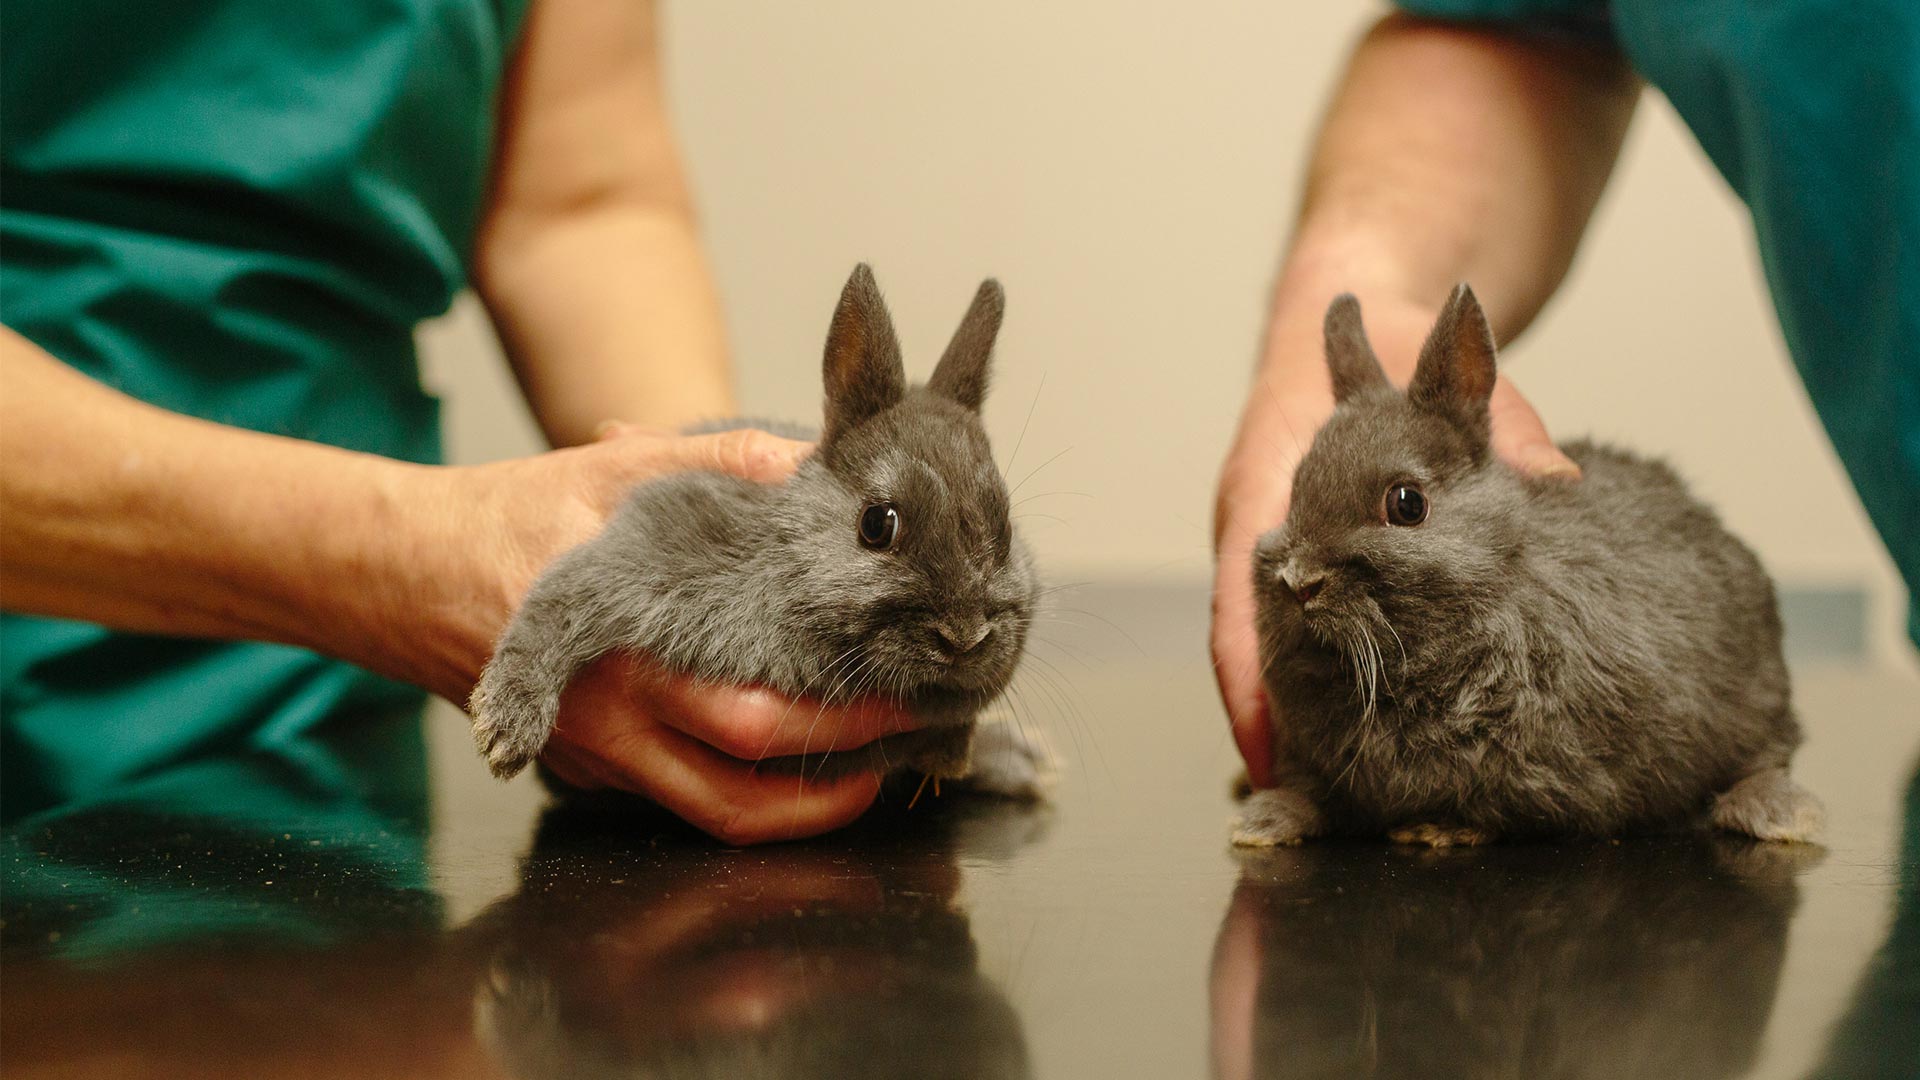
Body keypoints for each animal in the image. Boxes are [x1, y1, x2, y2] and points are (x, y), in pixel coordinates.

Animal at [470, 265, 1049, 796]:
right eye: (877, 524)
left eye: (1005, 524)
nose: (964, 636)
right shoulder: (643, 544)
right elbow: (551, 607)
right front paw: (505, 729)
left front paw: (953, 756)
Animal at [1233, 285, 1823, 848]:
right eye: (1294, 493)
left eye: (1406, 504)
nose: (1299, 582)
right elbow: (1307, 794)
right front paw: (1261, 821)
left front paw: (1440, 829)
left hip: (1756, 700)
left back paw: (1778, 813)